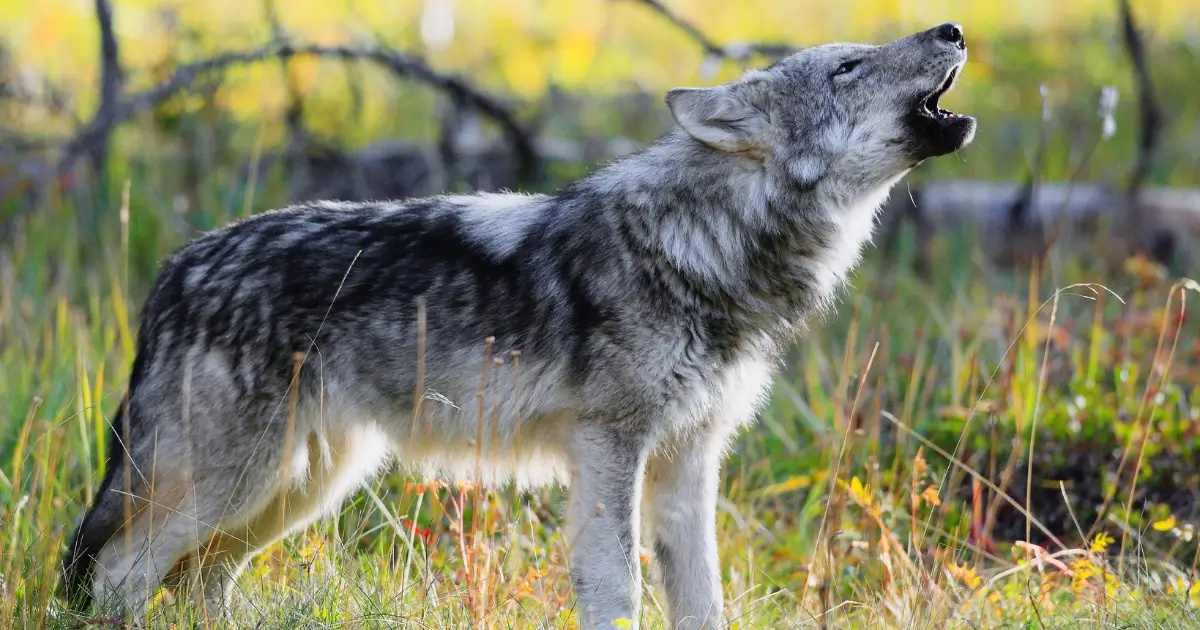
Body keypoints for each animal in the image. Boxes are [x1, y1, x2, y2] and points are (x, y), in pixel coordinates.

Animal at [61, 22, 974, 630]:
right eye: (849, 66)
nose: (953, 26)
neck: (703, 244)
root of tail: (176, 269)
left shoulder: (689, 459)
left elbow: (703, 601)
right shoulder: (611, 446)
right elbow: (616, 588)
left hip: (298, 489)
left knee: (196, 582)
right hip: (237, 485)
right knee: (119, 573)